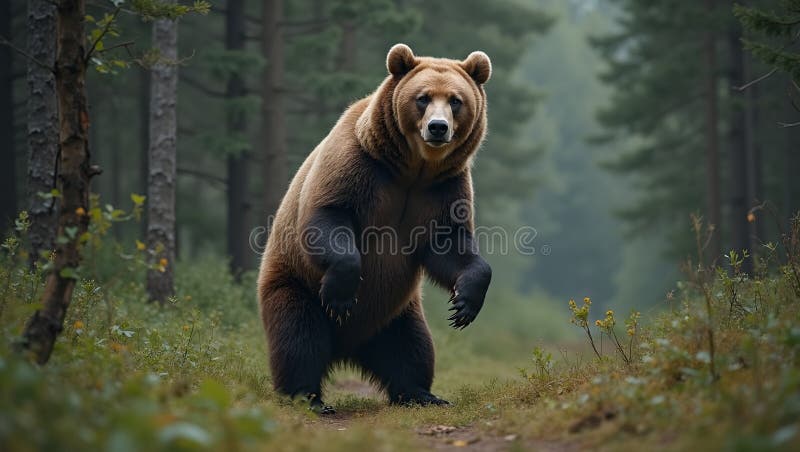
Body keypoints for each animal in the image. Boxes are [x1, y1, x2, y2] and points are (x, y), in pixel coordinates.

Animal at [257, 43, 493, 414]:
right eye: (423, 98)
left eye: (456, 100)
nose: (438, 128)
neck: (413, 169)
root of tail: (347, 349)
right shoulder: (359, 166)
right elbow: (328, 217)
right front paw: (340, 295)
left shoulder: (442, 190)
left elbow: (450, 245)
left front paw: (464, 305)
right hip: (292, 283)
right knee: (299, 338)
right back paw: (308, 396)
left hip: (397, 311)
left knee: (411, 348)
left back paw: (423, 394)